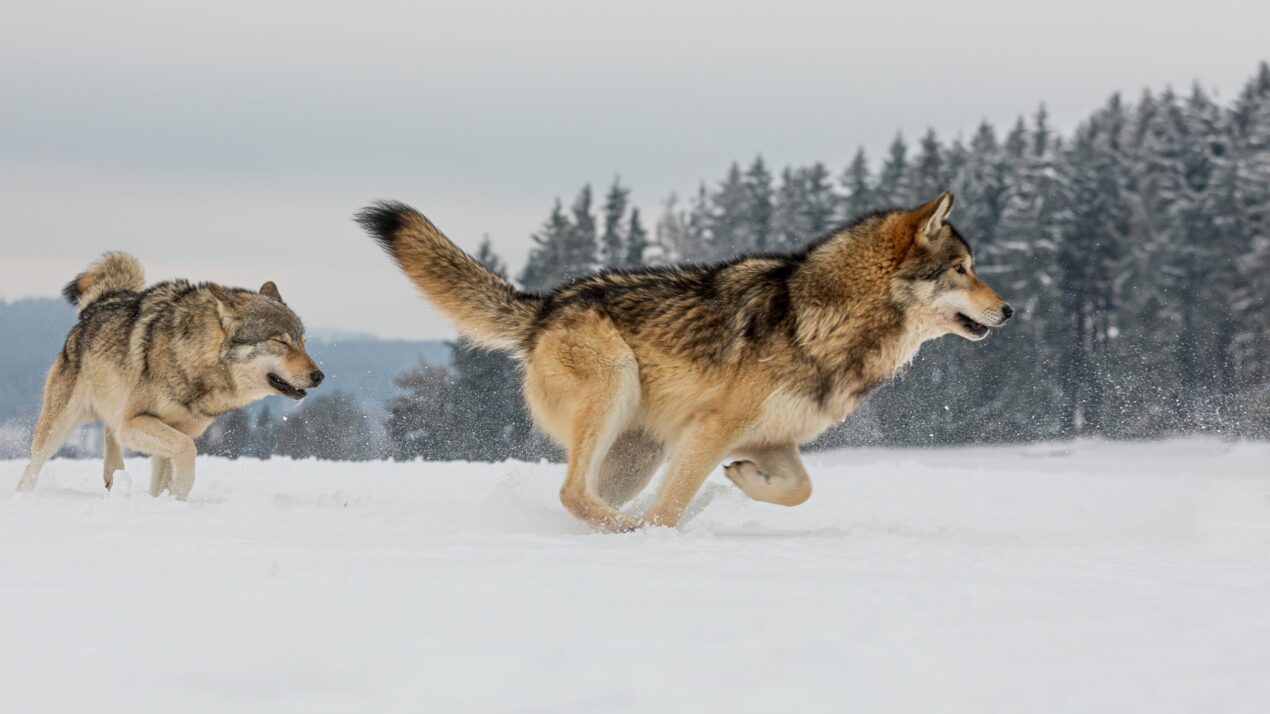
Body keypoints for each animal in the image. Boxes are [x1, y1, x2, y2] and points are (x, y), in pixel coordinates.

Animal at [15, 253, 324, 499]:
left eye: (303, 342)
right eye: (281, 342)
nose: (319, 376)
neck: (193, 361)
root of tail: (100, 302)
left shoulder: (170, 431)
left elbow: (166, 474)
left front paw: (165, 503)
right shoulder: (137, 423)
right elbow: (187, 451)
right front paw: (179, 497)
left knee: (109, 430)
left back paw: (114, 476)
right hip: (59, 424)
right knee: (33, 466)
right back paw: (23, 495)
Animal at [358, 192, 1011, 530]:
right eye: (962, 269)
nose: (1008, 311)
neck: (828, 319)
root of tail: (546, 306)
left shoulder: (774, 439)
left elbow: (800, 490)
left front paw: (741, 481)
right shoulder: (712, 428)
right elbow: (673, 507)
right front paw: (669, 528)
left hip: (634, 454)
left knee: (577, 494)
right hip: (614, 390)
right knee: (573, 492)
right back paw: (628, 530)